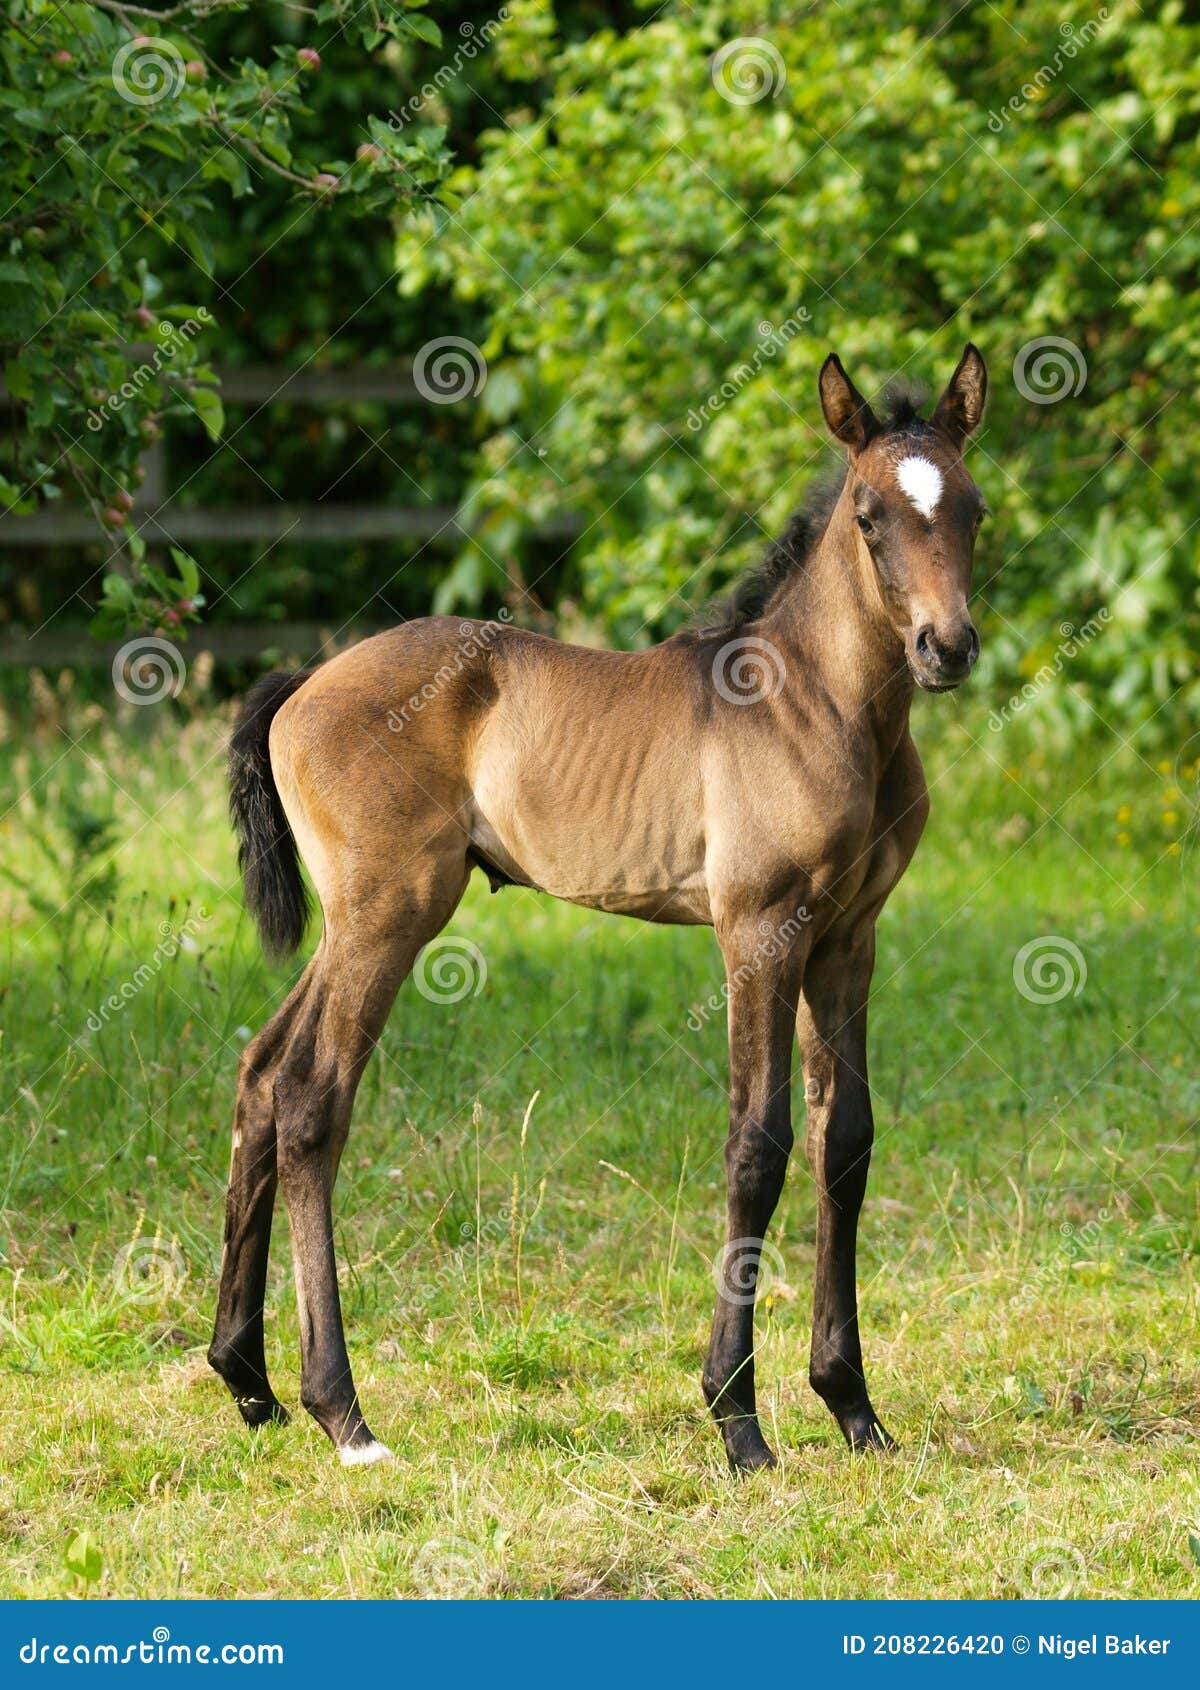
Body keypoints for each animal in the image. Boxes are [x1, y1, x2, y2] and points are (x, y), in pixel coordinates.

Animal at [209, 344, 989, 1470]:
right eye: (870, 515)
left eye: (972, 507)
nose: (947, 647)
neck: (826, 706)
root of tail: (307, 679)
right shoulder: (759, 931)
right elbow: (757, 1146)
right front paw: (738, 1421)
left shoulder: (849, 937)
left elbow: (846, 1142)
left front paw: (853, 1408)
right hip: (390, 914)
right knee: (314, 1096)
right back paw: (343, 1412)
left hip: (355, 918)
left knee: (263, 1072)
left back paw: (247, 1380)